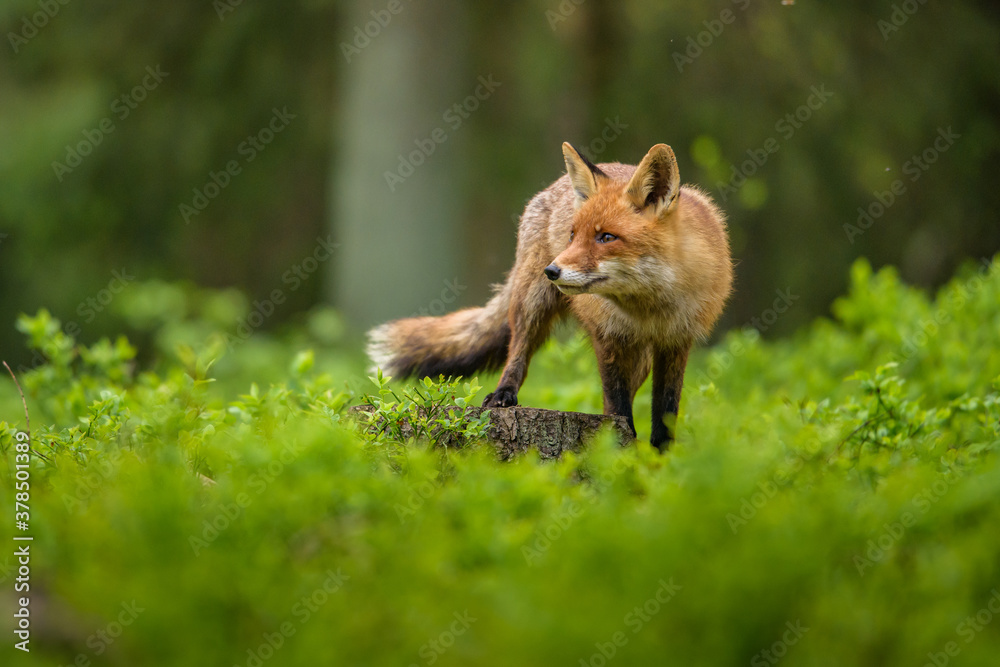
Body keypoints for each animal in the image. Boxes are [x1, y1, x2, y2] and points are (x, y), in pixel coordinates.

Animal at [368, 142, 733, 450]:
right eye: (573, 235)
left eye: (606, 237)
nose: (552, 270)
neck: (648, 308)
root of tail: (552, 187)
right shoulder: (608, 337)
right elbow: (617, 406)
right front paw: (620, 451)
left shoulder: (677, 341)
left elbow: (665, 413)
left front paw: (659, 461)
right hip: (531, 303)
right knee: (518, 351)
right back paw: (504, 393)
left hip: (640, 356)